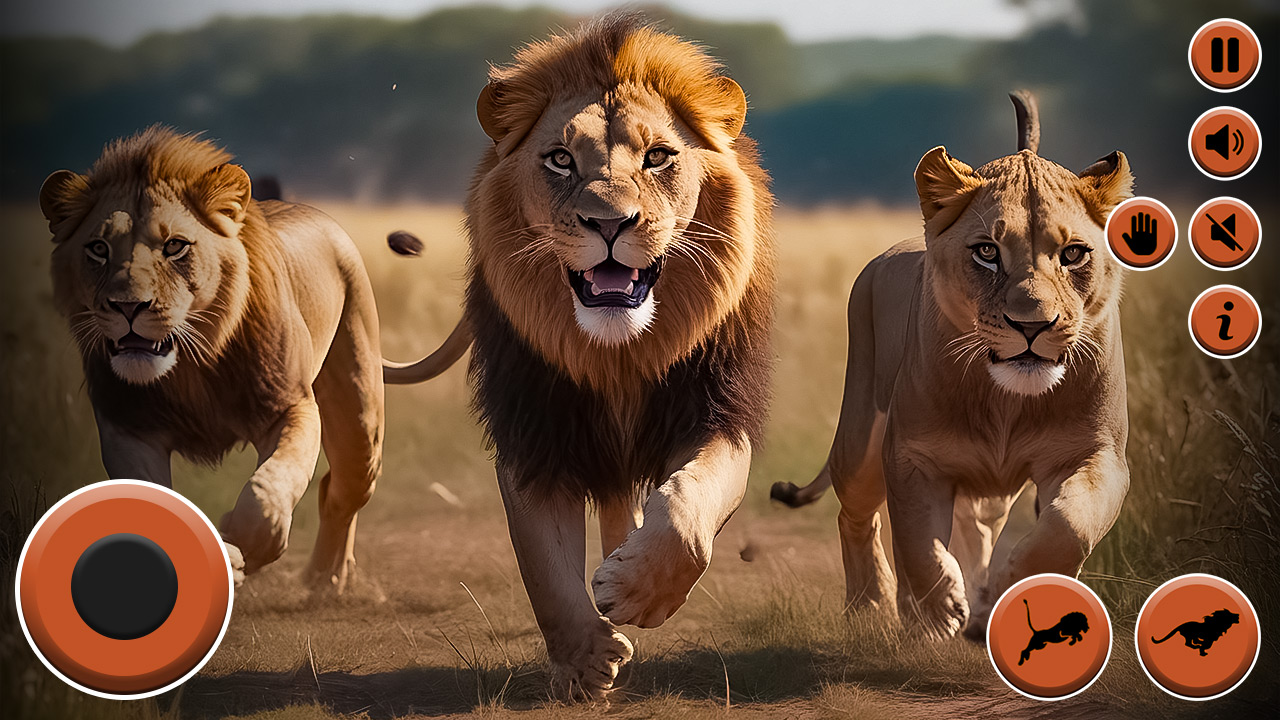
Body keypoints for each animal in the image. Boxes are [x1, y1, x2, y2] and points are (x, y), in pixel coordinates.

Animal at [40, 127, 462, 593]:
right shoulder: (128, 430)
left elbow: (268, 490)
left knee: (343, 488)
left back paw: (325, 579)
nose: (128, 306)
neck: (191, 365)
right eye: (98, 248)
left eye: (175, 246)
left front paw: (240, 550)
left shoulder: (292, 407)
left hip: (359, 412)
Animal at [387, 15, 774, 700]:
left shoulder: (715, 414)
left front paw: (635, 590)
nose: (610, 223)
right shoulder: (534, 436)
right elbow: (542, 564)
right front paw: (585, 660)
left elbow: (688, 514)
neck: (614, 357)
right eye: (560, 159)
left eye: (658, 157)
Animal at [770, 92, 1132, 640]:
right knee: (858, 515)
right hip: (859, 439)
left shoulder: (1096, 452)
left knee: (976, 529)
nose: (1032, 325)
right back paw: (873, 606)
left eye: (1073, 254)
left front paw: (1006, 591)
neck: (1005, 401)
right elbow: (918, 542)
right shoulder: (913, 455)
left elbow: (1067, 527)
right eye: (986, 252)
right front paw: (938, 611)